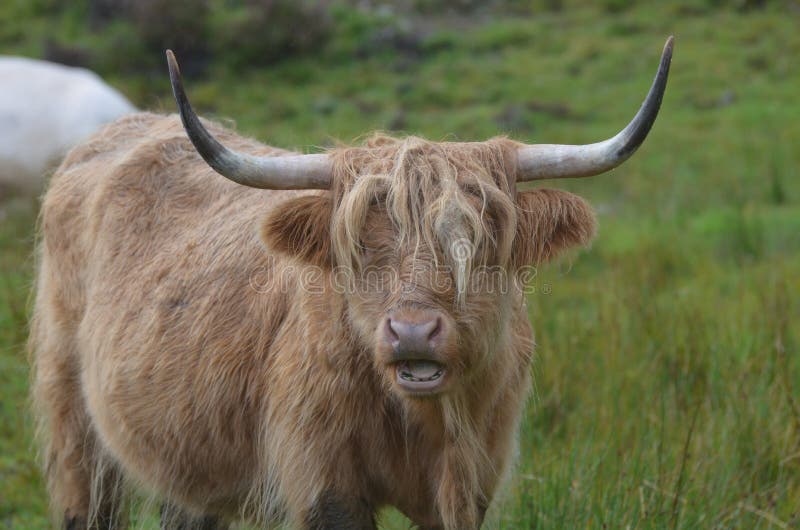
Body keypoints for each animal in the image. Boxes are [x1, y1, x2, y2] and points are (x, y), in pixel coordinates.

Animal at [30, 37, 673, 529]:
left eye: (478, 237)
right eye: (359, 244)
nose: (412, 333)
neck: (422, 422)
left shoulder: (474, 480)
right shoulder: (324, 481)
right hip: (74, 426)